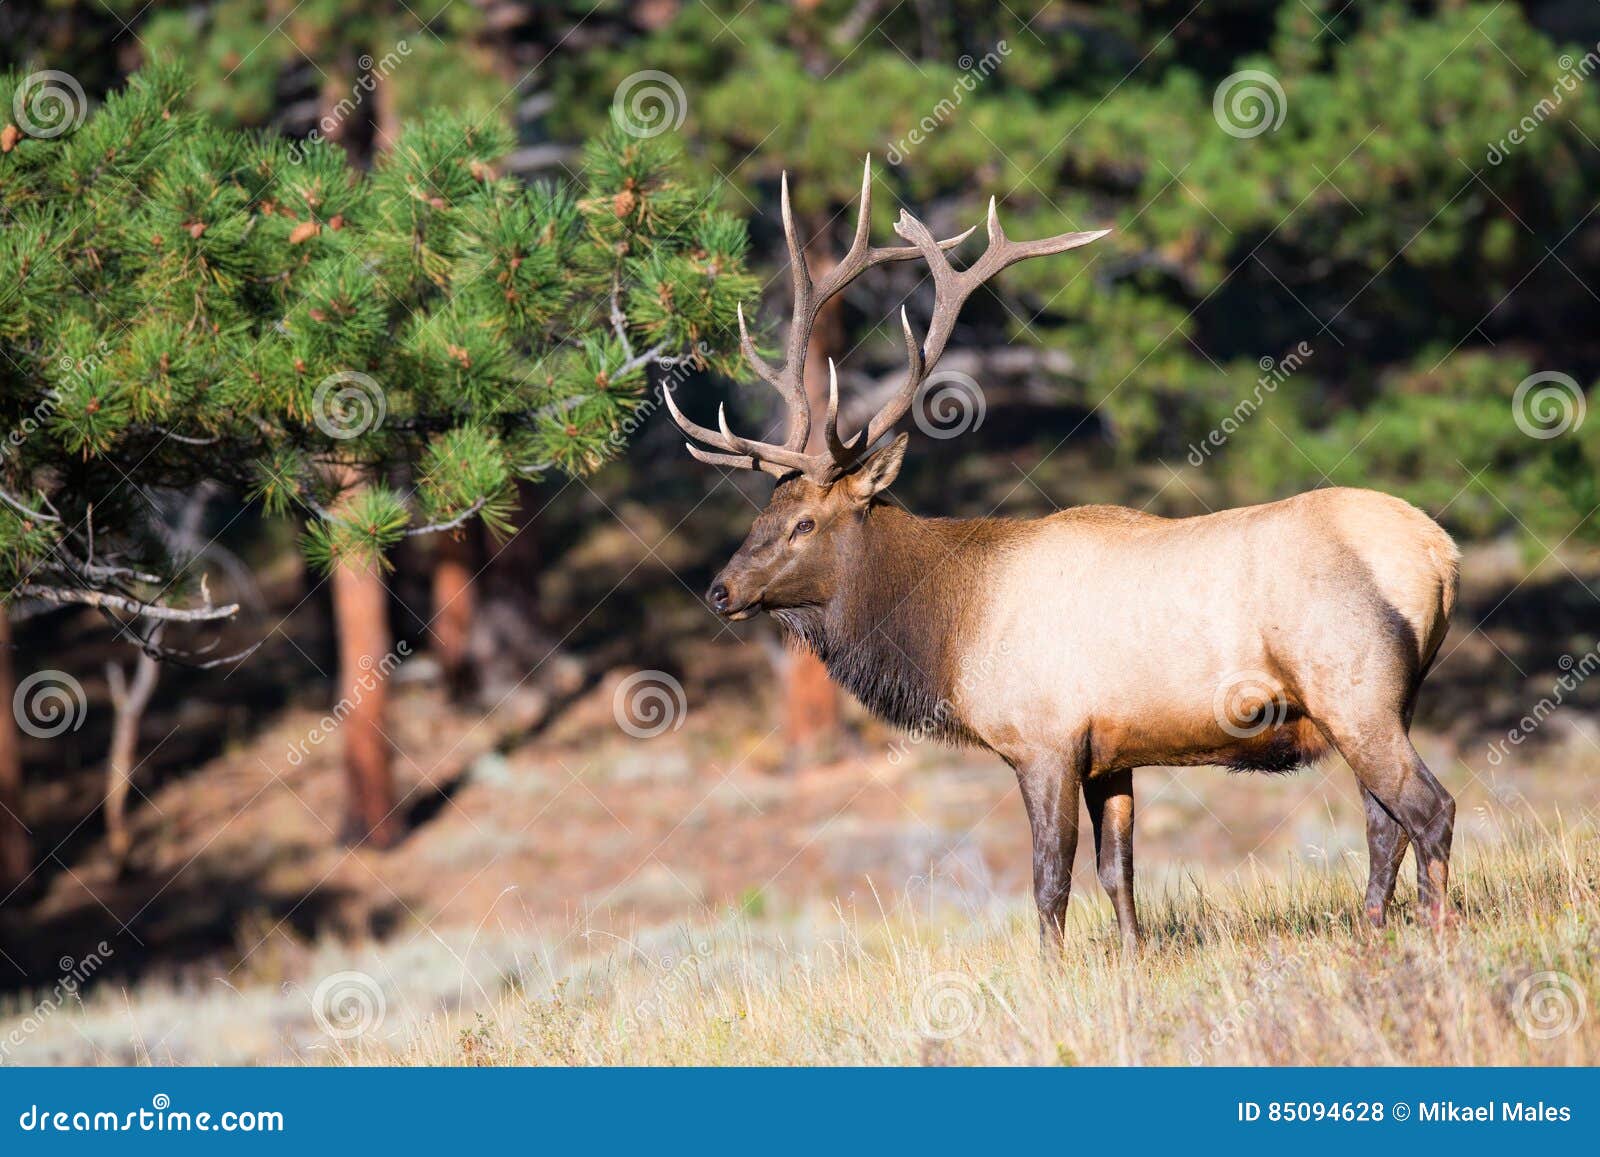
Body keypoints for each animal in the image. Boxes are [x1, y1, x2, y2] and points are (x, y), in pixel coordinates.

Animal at [666, 159, 1460, 951]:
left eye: (803, 522)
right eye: (763, 513)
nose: (721, 589)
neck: (951, 625)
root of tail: (1440, 555)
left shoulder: (1042, 738)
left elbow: (1050, 881)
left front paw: (1052, 968)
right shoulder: (1110, 753)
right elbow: (1118, 874)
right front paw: (1133, 958)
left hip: (1351, 689)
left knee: (1430, 810)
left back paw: (1437, 935)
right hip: (1386, 700)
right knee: (1384, 822)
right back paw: (1373, 931)